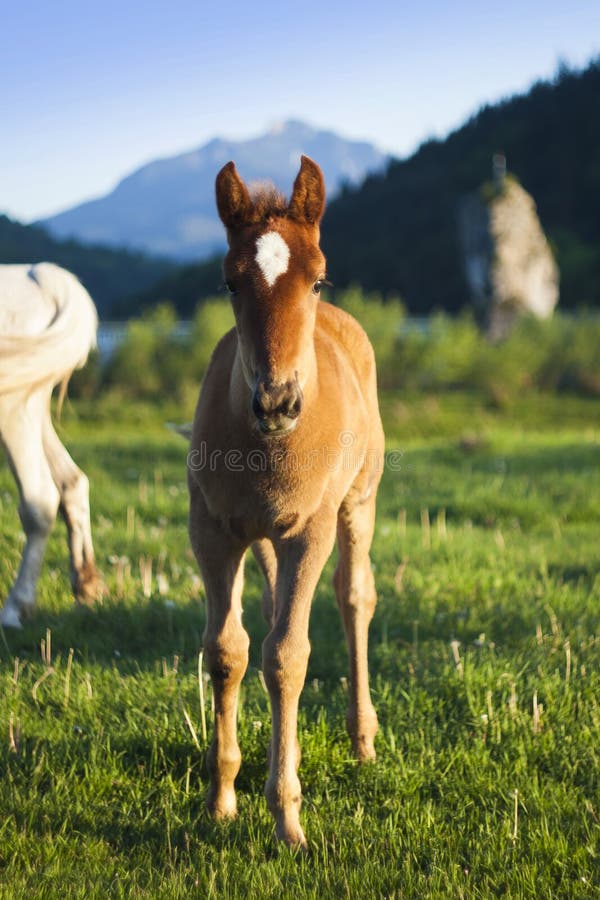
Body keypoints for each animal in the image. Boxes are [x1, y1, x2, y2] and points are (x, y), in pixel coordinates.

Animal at [0, 262, 103, 629]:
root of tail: (37, 276)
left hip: (13, 409)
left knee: (40, 500)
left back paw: (16, 607)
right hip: (32, 405)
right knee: (71, 481)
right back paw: (86, 584)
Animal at [187, 156, 385, 847]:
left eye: (318, 278)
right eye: (228, 283)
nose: (277, 402)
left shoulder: (309, 532)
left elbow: (288, 659)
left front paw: (287, 818)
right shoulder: (212, 531)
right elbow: (228, 651)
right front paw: (222, 799)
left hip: (358, 501)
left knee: (354, 597)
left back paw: (363, 739)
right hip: (265, 534)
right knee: (272, 611)